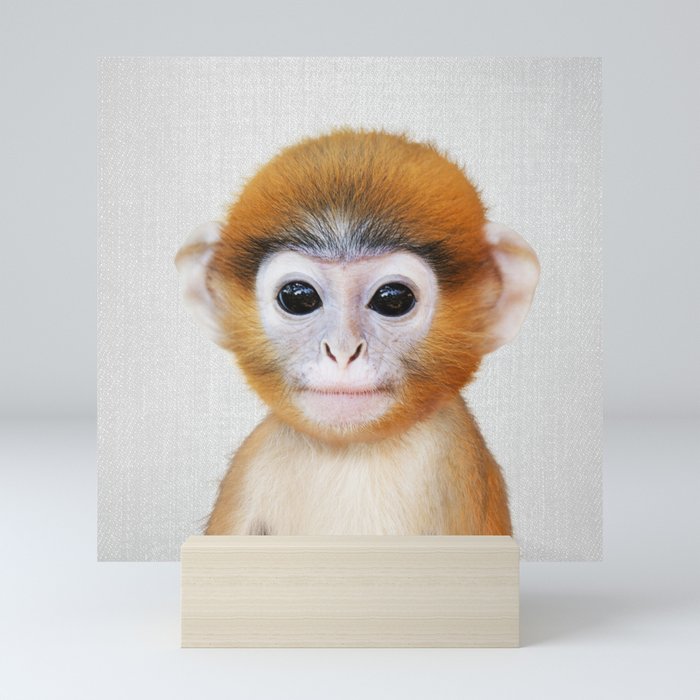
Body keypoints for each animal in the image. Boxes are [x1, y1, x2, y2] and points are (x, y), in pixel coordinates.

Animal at [175, 129, 539, 537]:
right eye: (298, 297)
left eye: (393, 299)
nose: (342, 351)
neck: (350, 450)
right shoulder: (250, 468)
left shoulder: (444, 461)